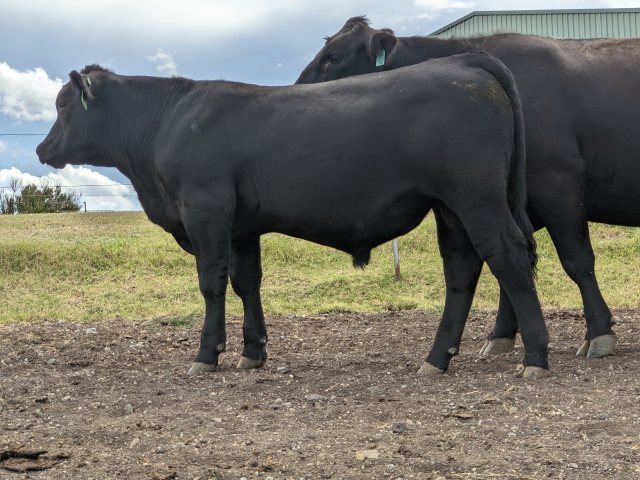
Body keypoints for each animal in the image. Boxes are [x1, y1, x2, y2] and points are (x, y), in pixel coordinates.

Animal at [37, 55, 549, 379]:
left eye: (63, 106)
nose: (43, 149)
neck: (169, 122)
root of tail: (464, 61)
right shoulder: (241, 228)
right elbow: (246, 283)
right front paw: (253, 352)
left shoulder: (207, 211)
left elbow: (211, 283)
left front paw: (207, 354)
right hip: (450, 207)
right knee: (462, 268)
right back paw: (437, 358)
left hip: (476, 197)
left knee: (507, 256)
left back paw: (535, 358)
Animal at [297, 16, 633, 360]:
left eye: (333, 57)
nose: (297, 93)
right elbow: (512, 268)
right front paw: (501, 335)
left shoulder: (558, 186)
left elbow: (576, 260)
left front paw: (599, 334)